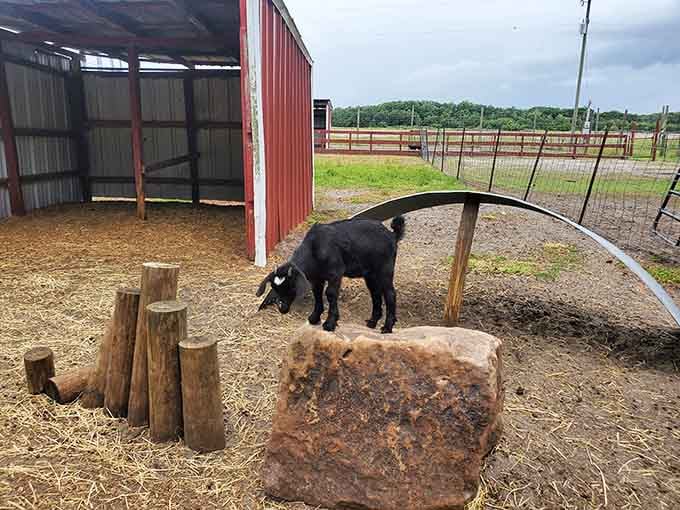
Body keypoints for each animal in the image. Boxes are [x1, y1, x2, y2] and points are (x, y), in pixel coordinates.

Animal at [256, 216, 405, 333]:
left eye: (292, 287)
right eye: (275, 288)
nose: (282, 308)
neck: (314, 248)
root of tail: (392, 235)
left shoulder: (336, 273)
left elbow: (330, 294)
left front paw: (330, 323)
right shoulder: (317, 278)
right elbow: (317, 294)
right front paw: (314, 318)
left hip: (385, 269)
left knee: (390, 294)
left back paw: (387, 327)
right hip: (370, 274)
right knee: (375, 293)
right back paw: (372, 322)